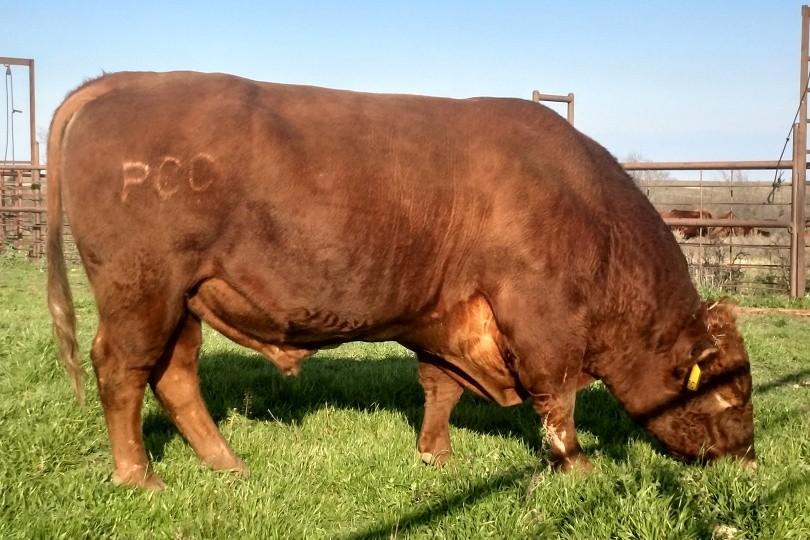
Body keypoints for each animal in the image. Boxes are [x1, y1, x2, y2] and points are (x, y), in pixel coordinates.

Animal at [47, 72, 755, 489]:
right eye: (732, 391)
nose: (749, 462)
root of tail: (121, 82)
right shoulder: (541, 320)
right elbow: (557, 401)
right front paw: (578, 467)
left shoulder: (447, 315)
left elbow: (441, 388)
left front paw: (436, 454)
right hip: (143, 292)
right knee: (121, 370)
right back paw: (139, 477)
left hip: (183, 302)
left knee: (175, 376)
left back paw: (228, 465)